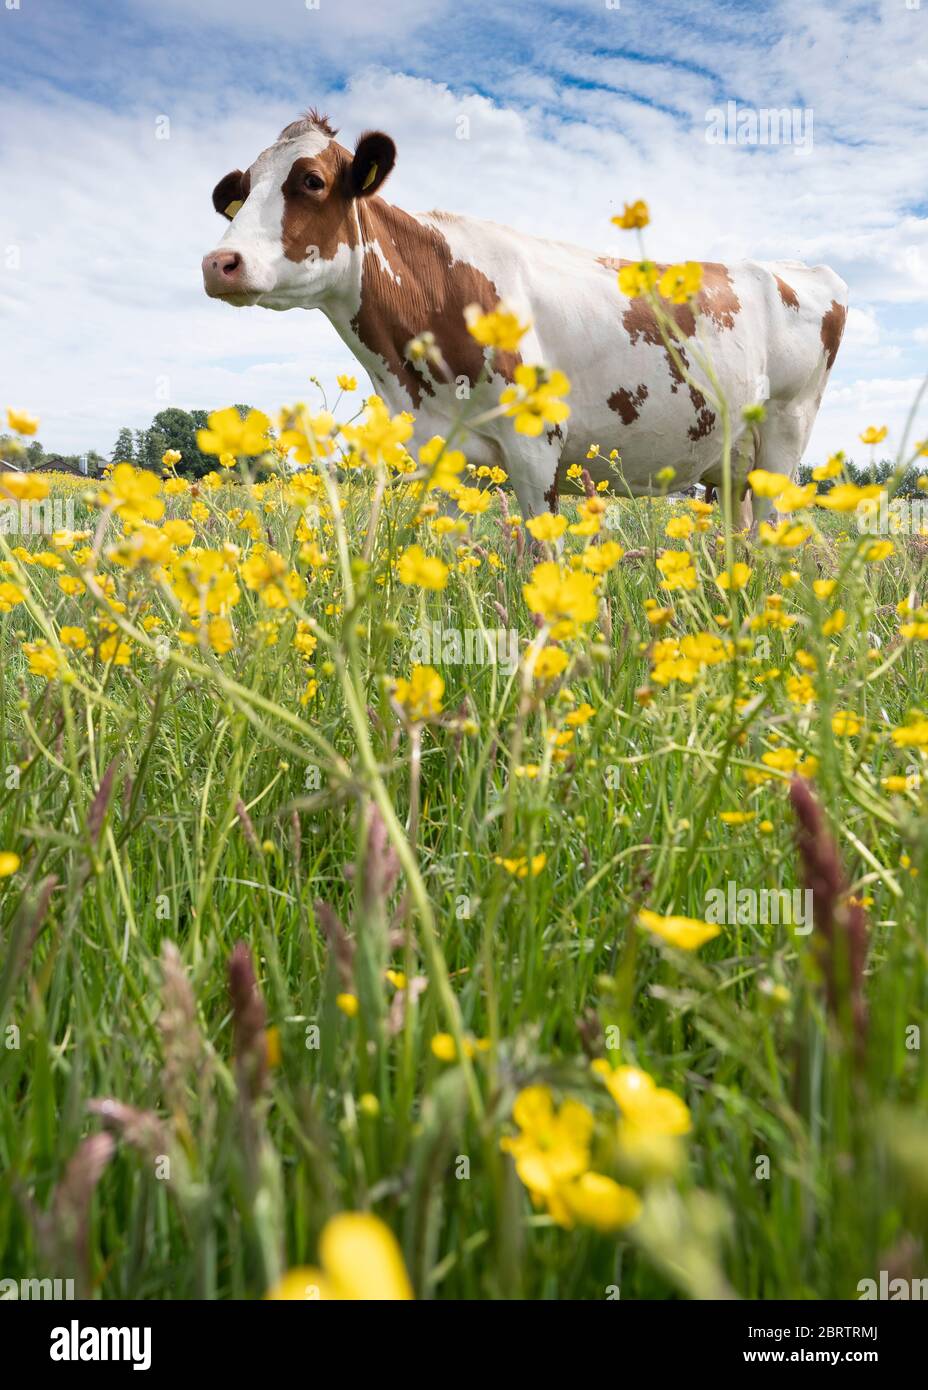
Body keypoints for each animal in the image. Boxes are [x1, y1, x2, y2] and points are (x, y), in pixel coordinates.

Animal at [202, 110, 848, 525]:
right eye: (242, 193)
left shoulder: (536, 445)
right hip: (731, 465)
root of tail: (807, 270)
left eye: (311, 180)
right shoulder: (436, 452)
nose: (218, 263)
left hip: (785, 435)